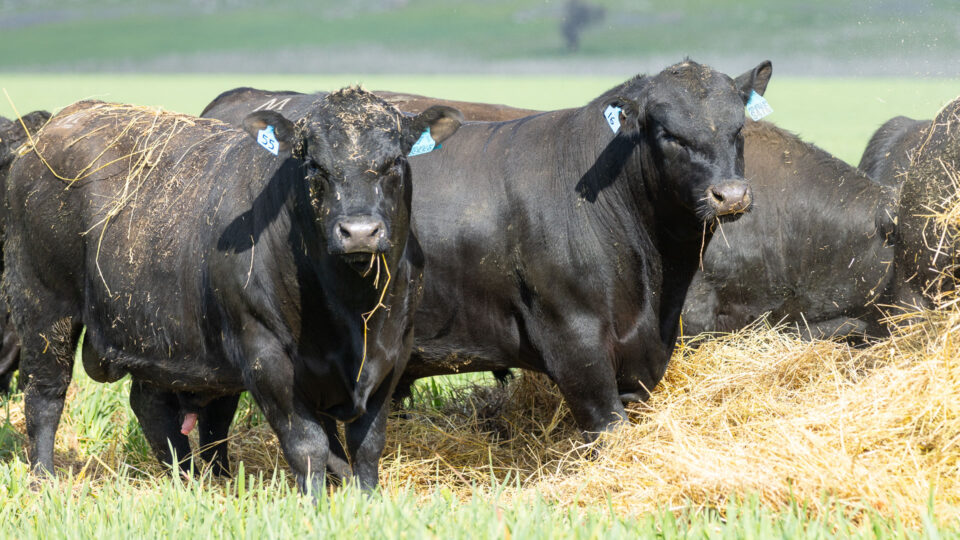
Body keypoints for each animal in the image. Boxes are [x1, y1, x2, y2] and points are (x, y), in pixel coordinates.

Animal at [3, 88, 462, 493]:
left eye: (394, 162)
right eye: (314, 165)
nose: (360, 232)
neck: (350, 310)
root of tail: (64, 119)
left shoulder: (393, 354)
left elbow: (365, 446)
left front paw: (366, 500)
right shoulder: (266, 354)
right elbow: (309, 445)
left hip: (160, 337)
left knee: (154, 407)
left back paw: (191, 481)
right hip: (45, 308)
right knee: (45, 396)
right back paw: (42, 481)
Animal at [201, 59, 771, 443]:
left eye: (740, 129)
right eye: (668, 133)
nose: (731, 196)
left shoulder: (642, 354)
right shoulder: (574, 338)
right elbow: (606, 428)